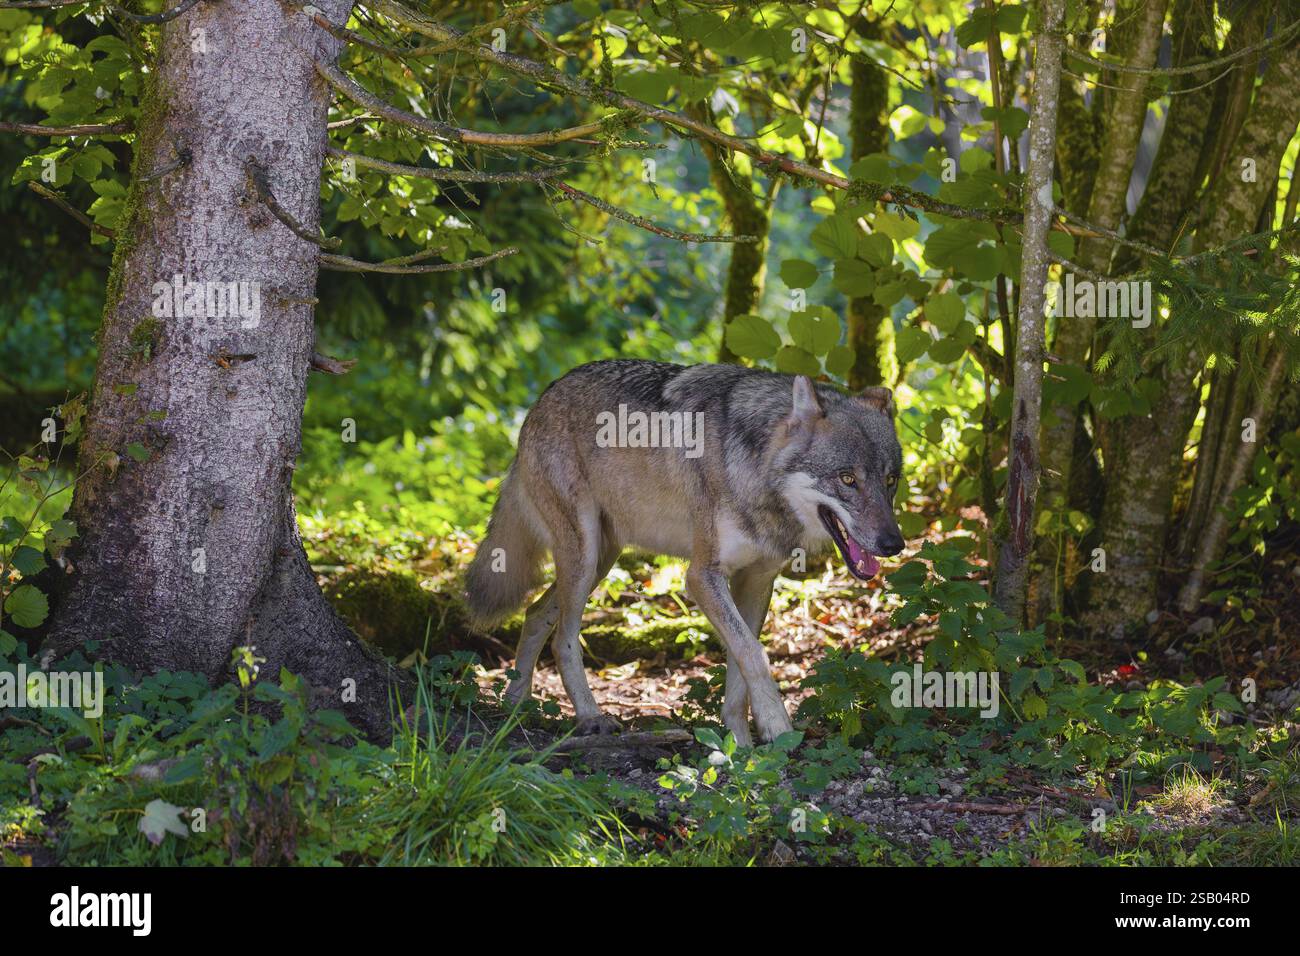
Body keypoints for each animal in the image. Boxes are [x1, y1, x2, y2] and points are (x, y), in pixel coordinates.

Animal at [464, 360, 905, 745]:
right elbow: (753, 652)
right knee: (563, 639)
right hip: (584, 558)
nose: (894, 544)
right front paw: (776, 726)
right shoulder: (701, 576)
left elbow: (740, 663)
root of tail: (542, 398)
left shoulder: (756, 581)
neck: (754, 466)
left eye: (890, 481)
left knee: (534, 613)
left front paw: (739, 742)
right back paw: (590, 717)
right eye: (847, 479)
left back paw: (515, 705)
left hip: (599, 562)